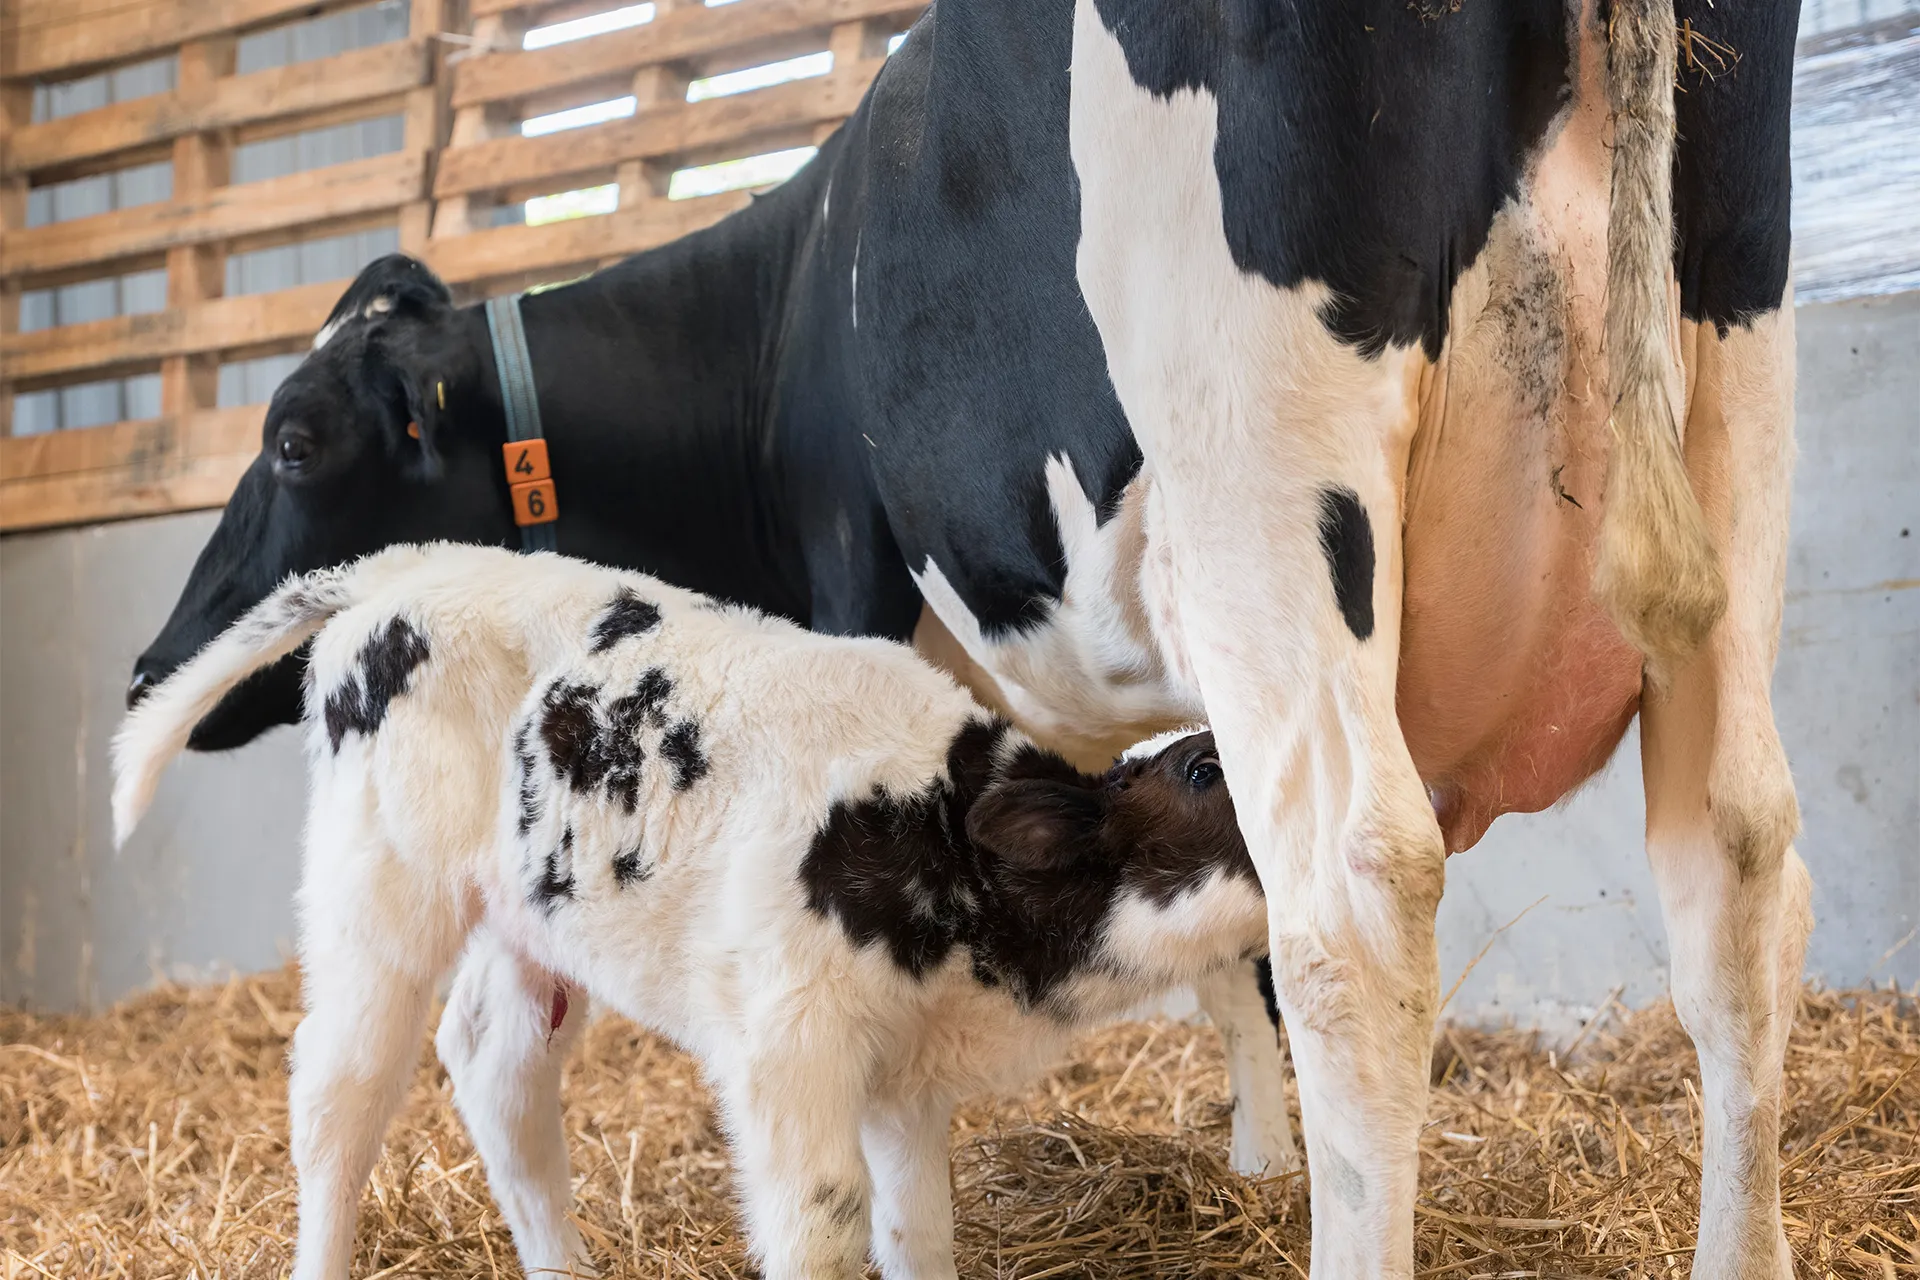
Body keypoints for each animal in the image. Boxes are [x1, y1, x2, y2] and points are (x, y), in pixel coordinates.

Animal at [112, 543, 1272, 1280]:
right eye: (1205, 768)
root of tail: (401, 564)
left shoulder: (904, 1073)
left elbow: (918, 1232)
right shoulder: (786, 1043)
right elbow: (822, 1227)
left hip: (531, 912)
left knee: (496, 1064)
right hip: (379, 881)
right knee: (337, 1091)